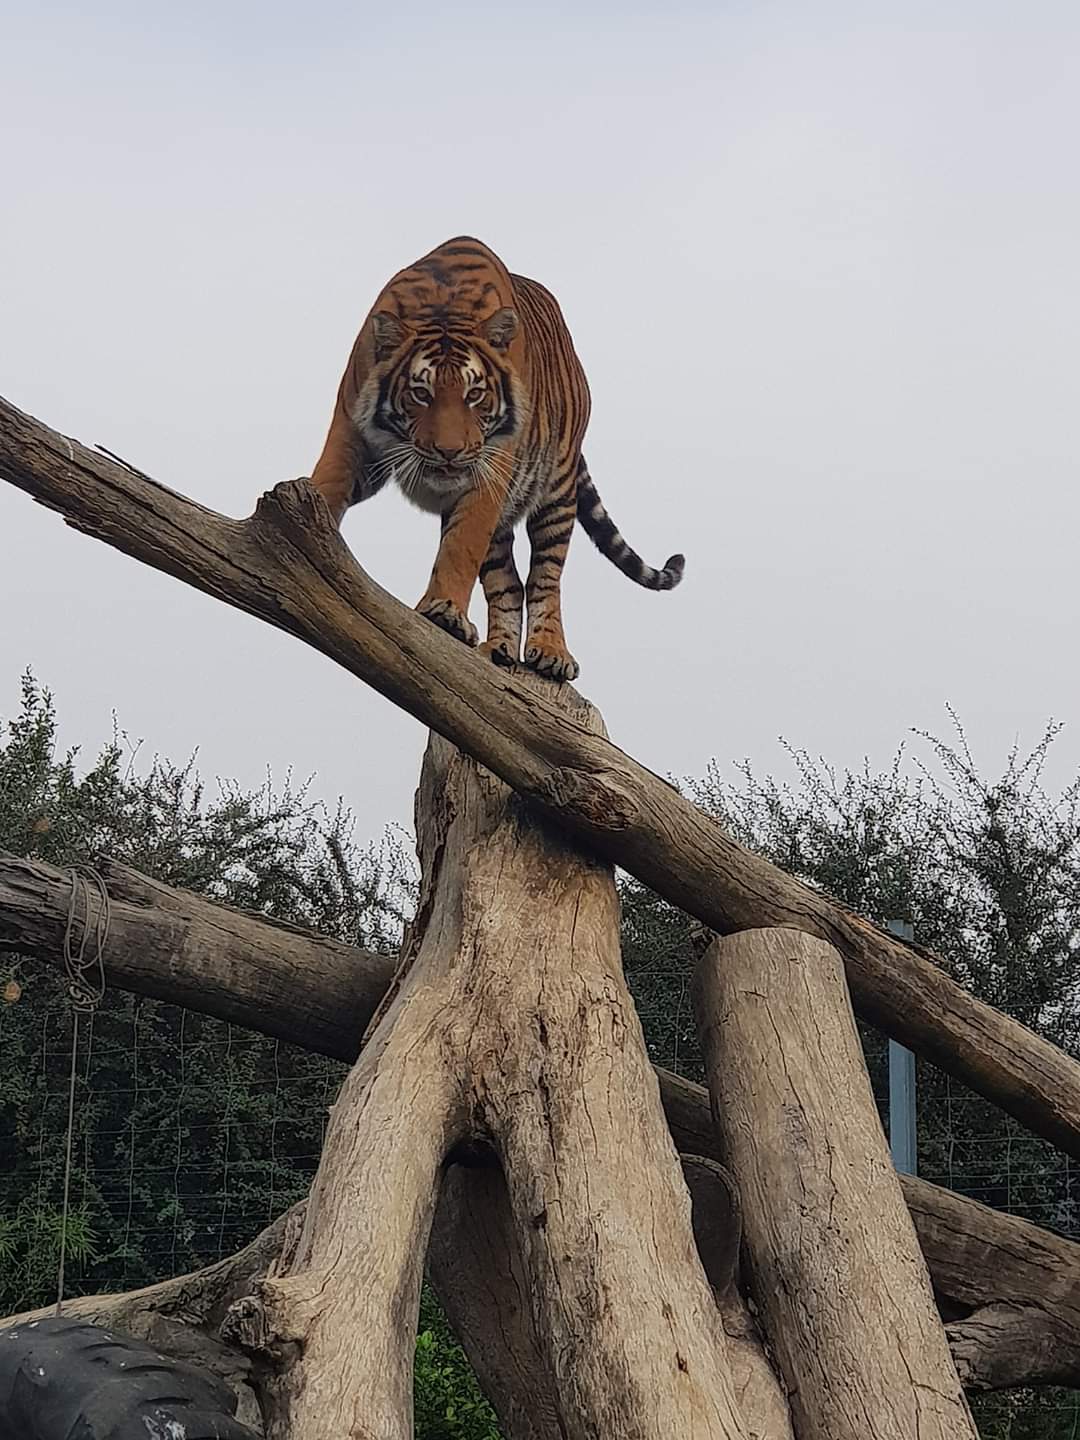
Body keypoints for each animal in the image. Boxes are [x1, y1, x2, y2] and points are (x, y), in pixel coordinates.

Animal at [309, 236, 684, 682]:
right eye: (421, 394)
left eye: (474, 394)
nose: (449, 451)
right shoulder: (351, 434)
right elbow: (327, 485)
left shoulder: (487, 474)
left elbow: (460, 550)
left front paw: (445, 613)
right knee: (508, 582)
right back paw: (498, 650)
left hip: (556, 492)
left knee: (544, 577)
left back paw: (551, 651)